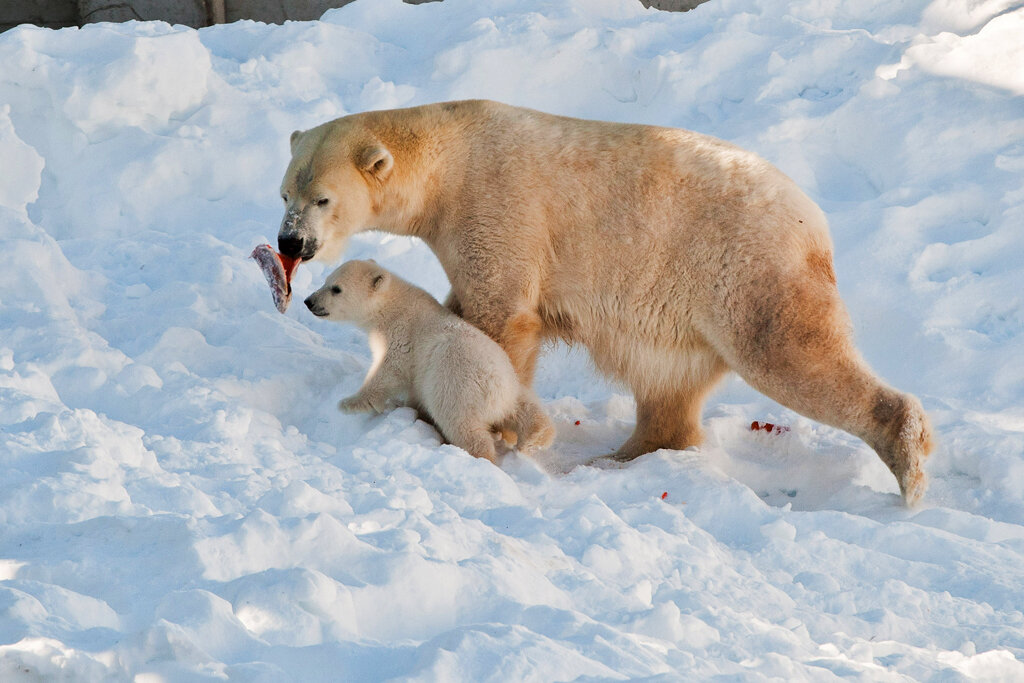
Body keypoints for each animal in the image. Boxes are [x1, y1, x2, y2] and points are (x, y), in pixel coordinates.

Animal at [280, 98, 937, 505]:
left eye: (322, 199)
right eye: (286, 191)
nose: (290, 242)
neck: (448, 156)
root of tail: (815, 223)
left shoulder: (496, 210)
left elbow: (500, 316)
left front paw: (485, 431)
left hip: (746, 270)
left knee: (790, 353)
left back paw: (907, 461)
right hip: (677, 302)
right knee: (668, 383)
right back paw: (620, 457)